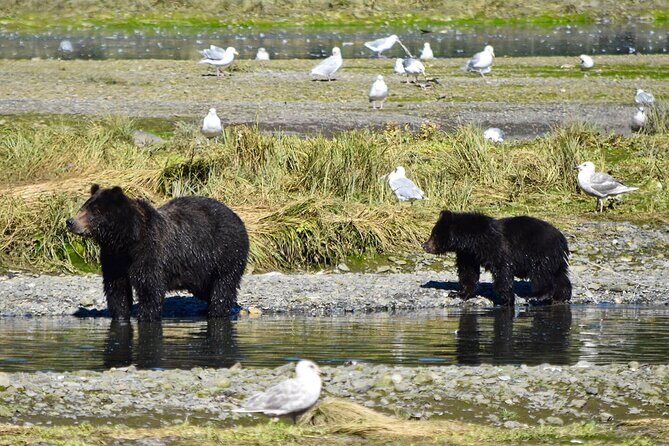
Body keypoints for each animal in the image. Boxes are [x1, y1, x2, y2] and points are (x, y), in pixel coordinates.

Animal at [67, 184, 249, 321]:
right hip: (201, 270)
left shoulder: (151, 253)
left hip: (225, 253)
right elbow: (117, 289)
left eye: (95, 211)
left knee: (223, 286)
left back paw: (217, 311)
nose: (70, 221)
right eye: (83, 207)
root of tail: (237, 217)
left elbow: (150, 288)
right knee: (207, 289)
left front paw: (145, 315)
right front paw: (120, 315)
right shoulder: (113, 258)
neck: (126, 241)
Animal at [422, 211, 571, 306]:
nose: (424, 245)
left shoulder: (496, 247)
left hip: (540, 253)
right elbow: (468, 273)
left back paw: (536, 295)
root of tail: (562, 239)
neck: (471, 240)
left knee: (540, 274)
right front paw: (458, 293)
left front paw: (506, 299)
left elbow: (502, 270)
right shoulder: (468, 254)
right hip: (555, 259)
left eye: (434, 235)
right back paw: (560, 297)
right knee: (560, 276)